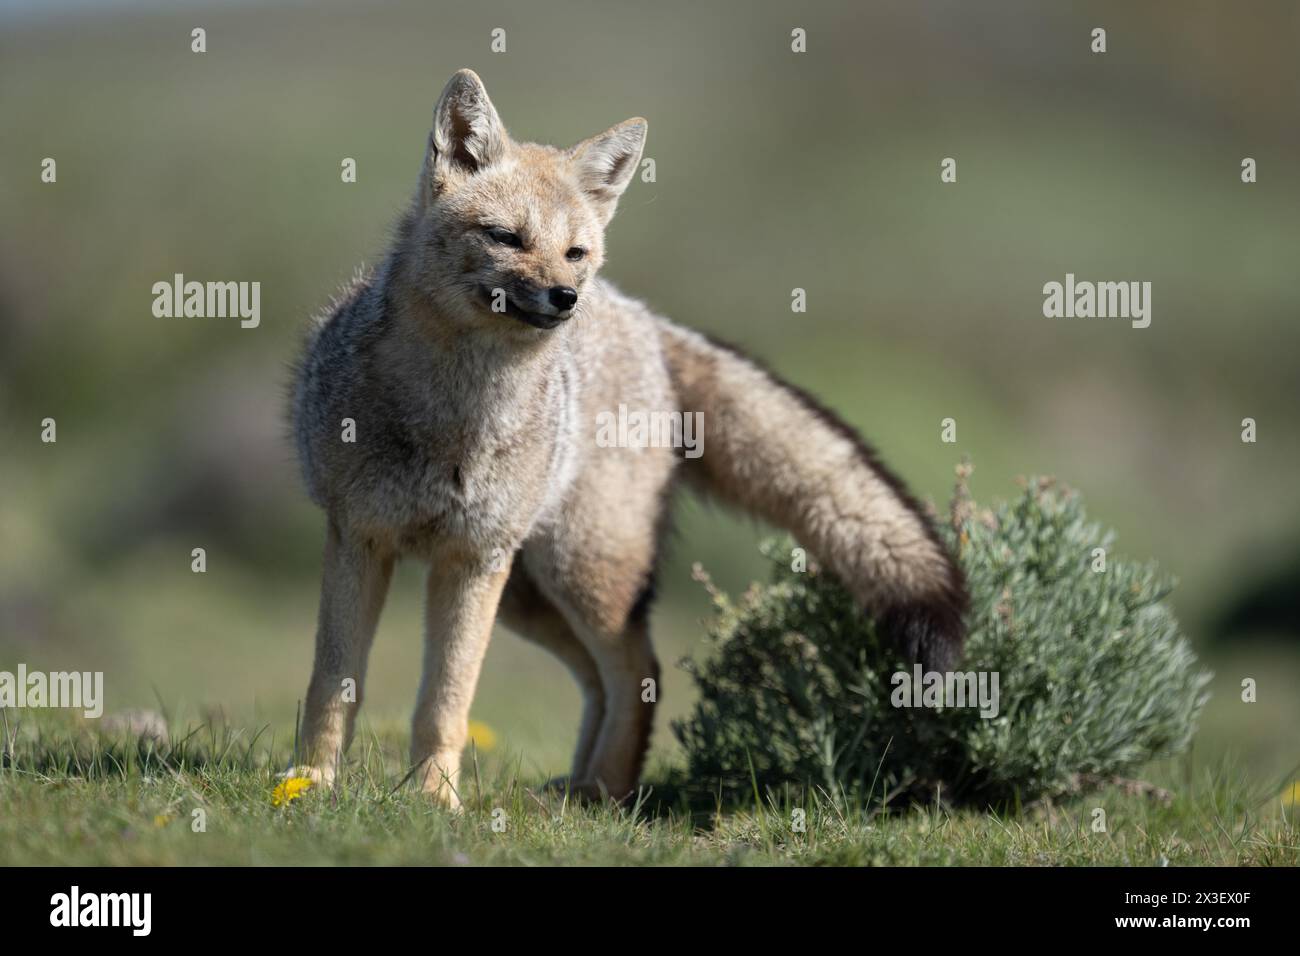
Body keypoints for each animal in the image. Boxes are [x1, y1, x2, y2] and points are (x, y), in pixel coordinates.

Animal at [288, 69, 968, 807]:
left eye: (573, 252)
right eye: (505, 237)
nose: (565, 298)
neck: (455, 418)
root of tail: (647, 320)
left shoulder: (471, 559)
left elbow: (447, 701)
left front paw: (434, 801)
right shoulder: (359, 539)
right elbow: (333, 685)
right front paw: (309, 786)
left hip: (580, 577)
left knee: (638, 674)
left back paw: (604, 793)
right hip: (534, 594)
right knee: (598, 677)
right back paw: (574, 788)